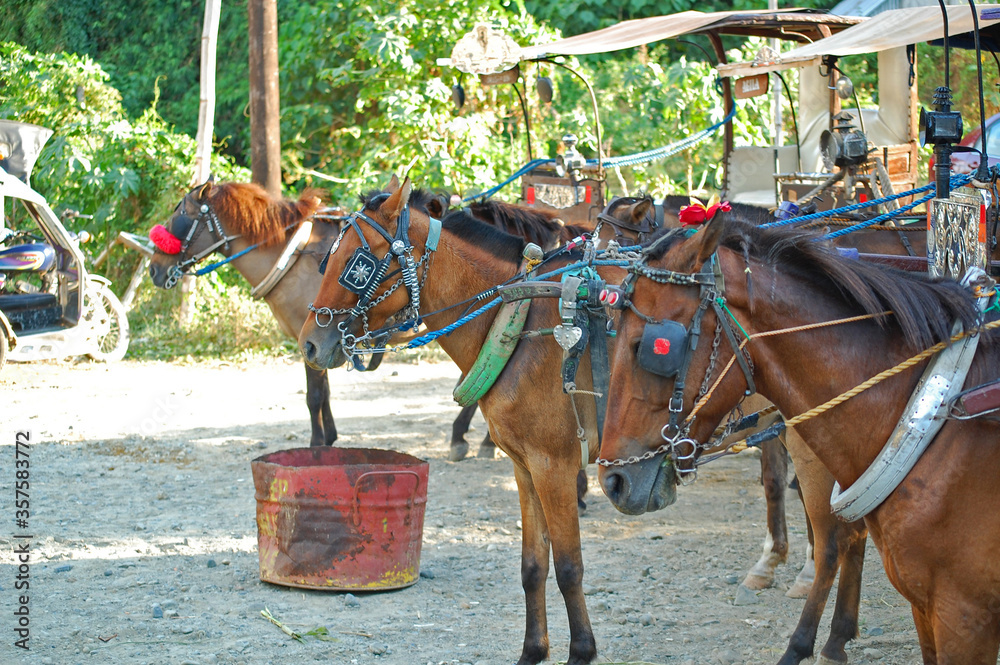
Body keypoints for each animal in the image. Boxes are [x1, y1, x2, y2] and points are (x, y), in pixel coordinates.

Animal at [300, 175, 615, 665]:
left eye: (357, 264)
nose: (309, 343)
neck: (521, 319)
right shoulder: (526, 467)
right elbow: (533, 566)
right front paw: (533, 650)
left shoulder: (555, 466)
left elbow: (568, 567)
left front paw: (581, 651)